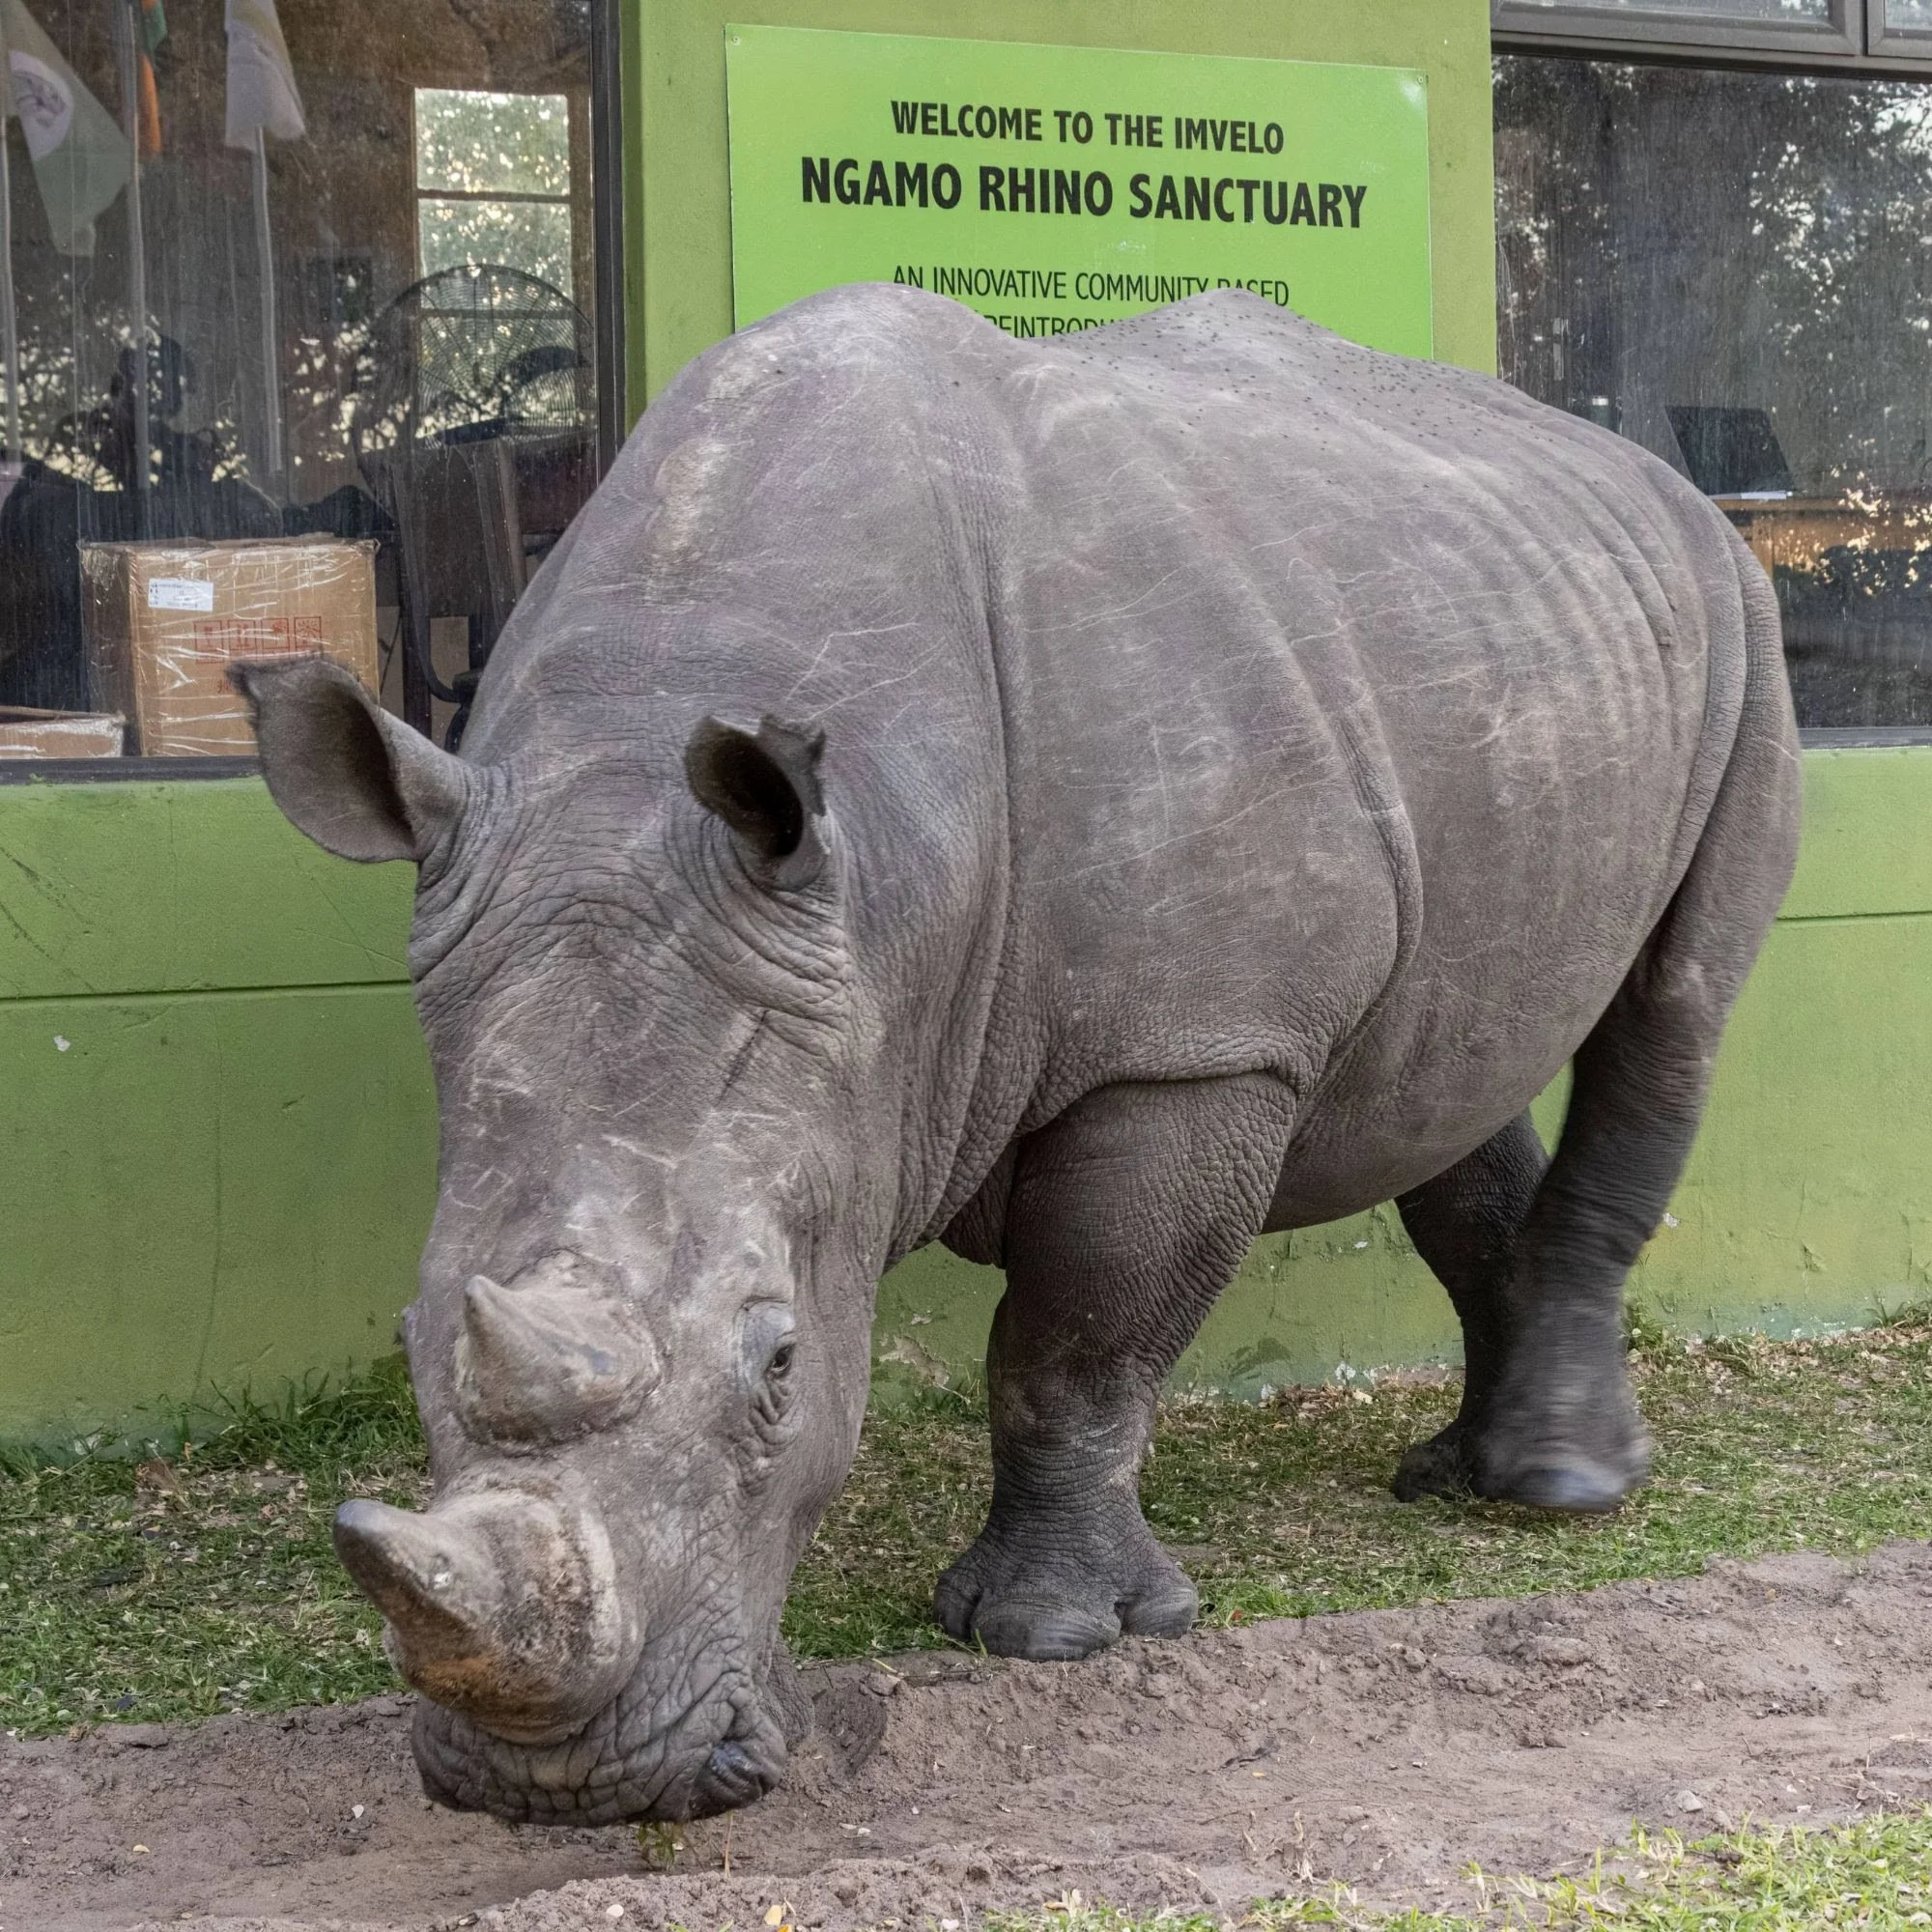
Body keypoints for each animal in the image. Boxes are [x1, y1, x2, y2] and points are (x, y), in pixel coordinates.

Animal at [237, 285, 1800, 1826]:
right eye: (410, 1340)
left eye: (782, 1367)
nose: (564, 1786)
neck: (880, 888)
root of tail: (1642, 467)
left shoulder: (1188, 1049)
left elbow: (1077, 1338)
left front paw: (1052, 1636)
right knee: (1451, 1068)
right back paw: (1457, 1476)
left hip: (1744, 627)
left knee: (1673, 1007)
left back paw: (1560, 1490)